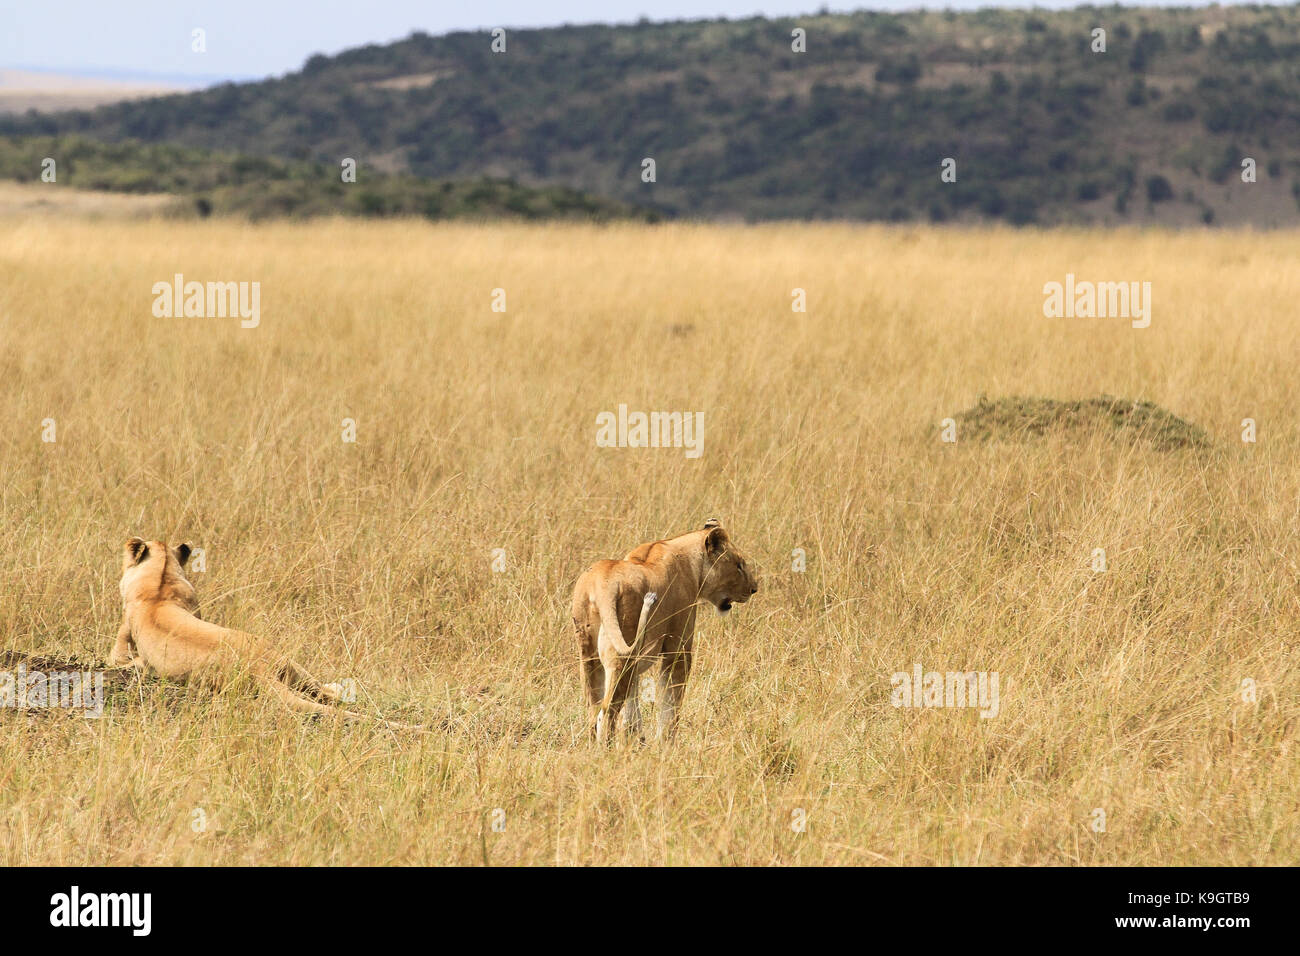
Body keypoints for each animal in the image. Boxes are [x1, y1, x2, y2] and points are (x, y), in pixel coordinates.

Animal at [571, 519, 758, 744]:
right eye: (738, 565)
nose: (754, 588)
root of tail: (603, 583)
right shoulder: (678, 648)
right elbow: (671, 701)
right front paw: (666, 742)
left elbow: (633, 702)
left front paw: (637, 738)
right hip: (621, 654)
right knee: (607, 711)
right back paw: (605, 749)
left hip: (589, 652)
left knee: (594, 706)